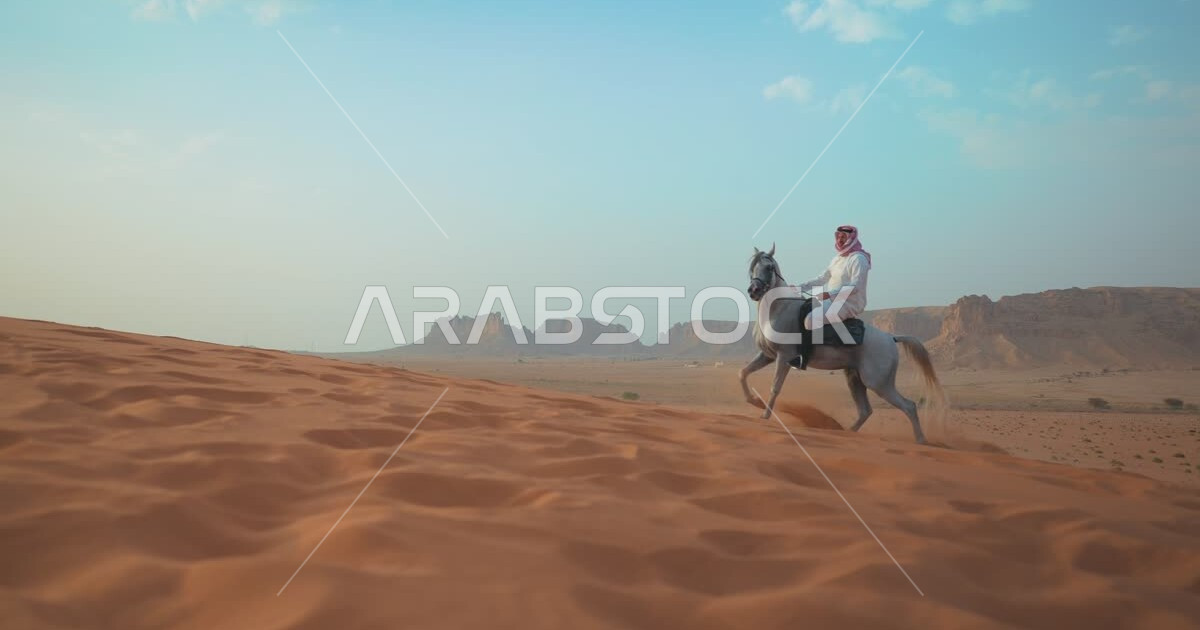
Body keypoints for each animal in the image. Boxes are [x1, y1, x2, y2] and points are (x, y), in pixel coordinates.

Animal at [740, 244, 945, 444]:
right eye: (753, 268)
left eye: (769, 267)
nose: (753, 291)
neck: (779, 309)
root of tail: (891, 338)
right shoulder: (767, 355)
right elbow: (743, 373)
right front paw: (753, 401)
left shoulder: (784, 357)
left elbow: (775, 387)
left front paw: (765, 416)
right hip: (855, 378)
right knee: (865, 410)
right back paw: (846, 431)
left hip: (878, 383)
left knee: (908, 406)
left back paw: (921, 440)